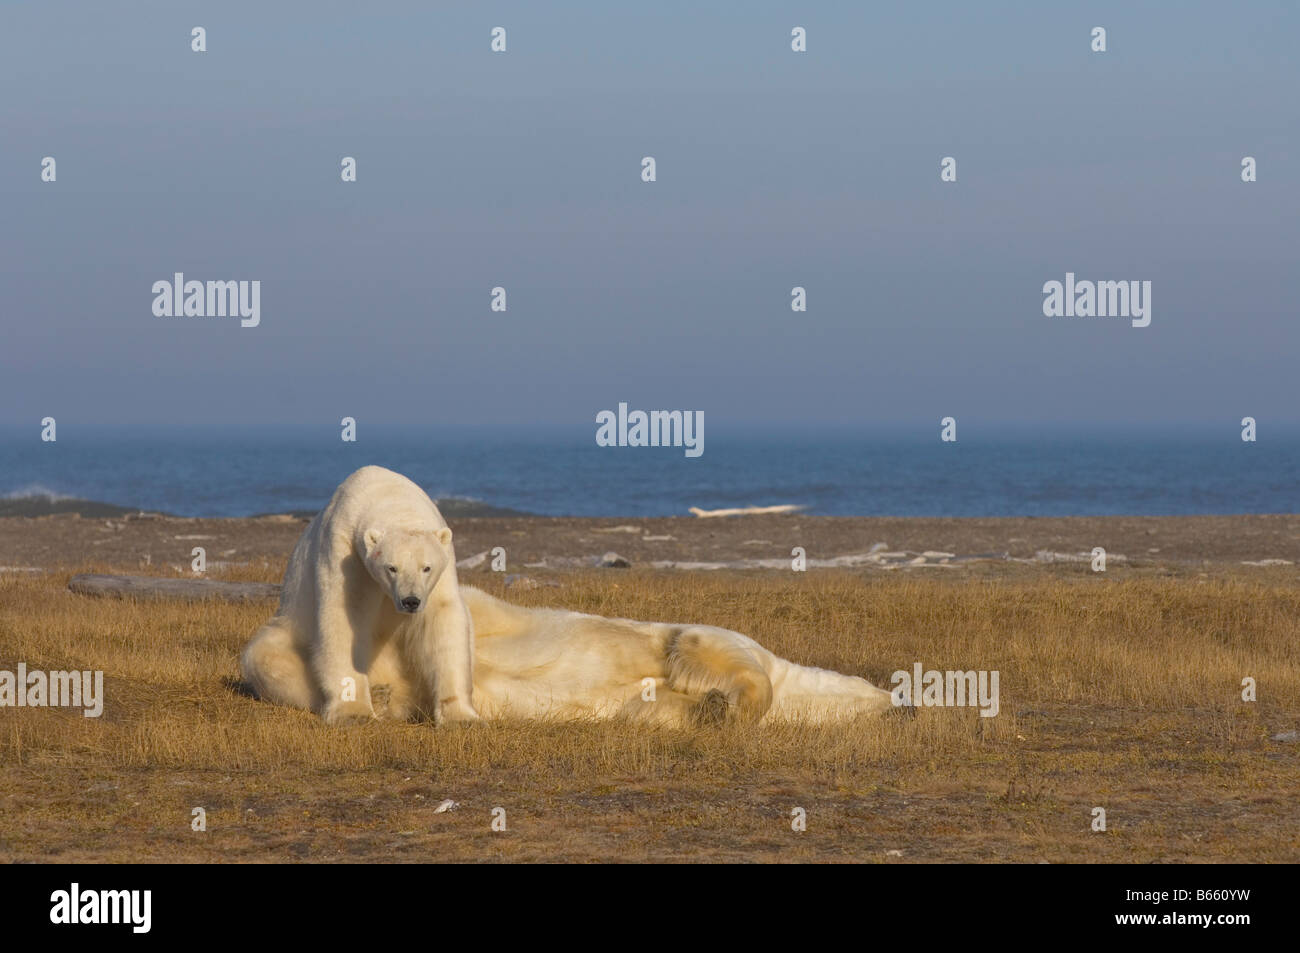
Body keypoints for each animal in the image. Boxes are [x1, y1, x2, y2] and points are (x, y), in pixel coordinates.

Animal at [239, 465, 479, 725]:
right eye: (391, 567)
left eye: (426, 567)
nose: (410, 601)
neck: (391, 496)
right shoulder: (344, 550)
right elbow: (345, 618)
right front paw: (354, 713)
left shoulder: (441, 569)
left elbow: (443, 618)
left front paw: (461, 717)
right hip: (289, 631)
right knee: (270, 659)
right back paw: (378, 696)